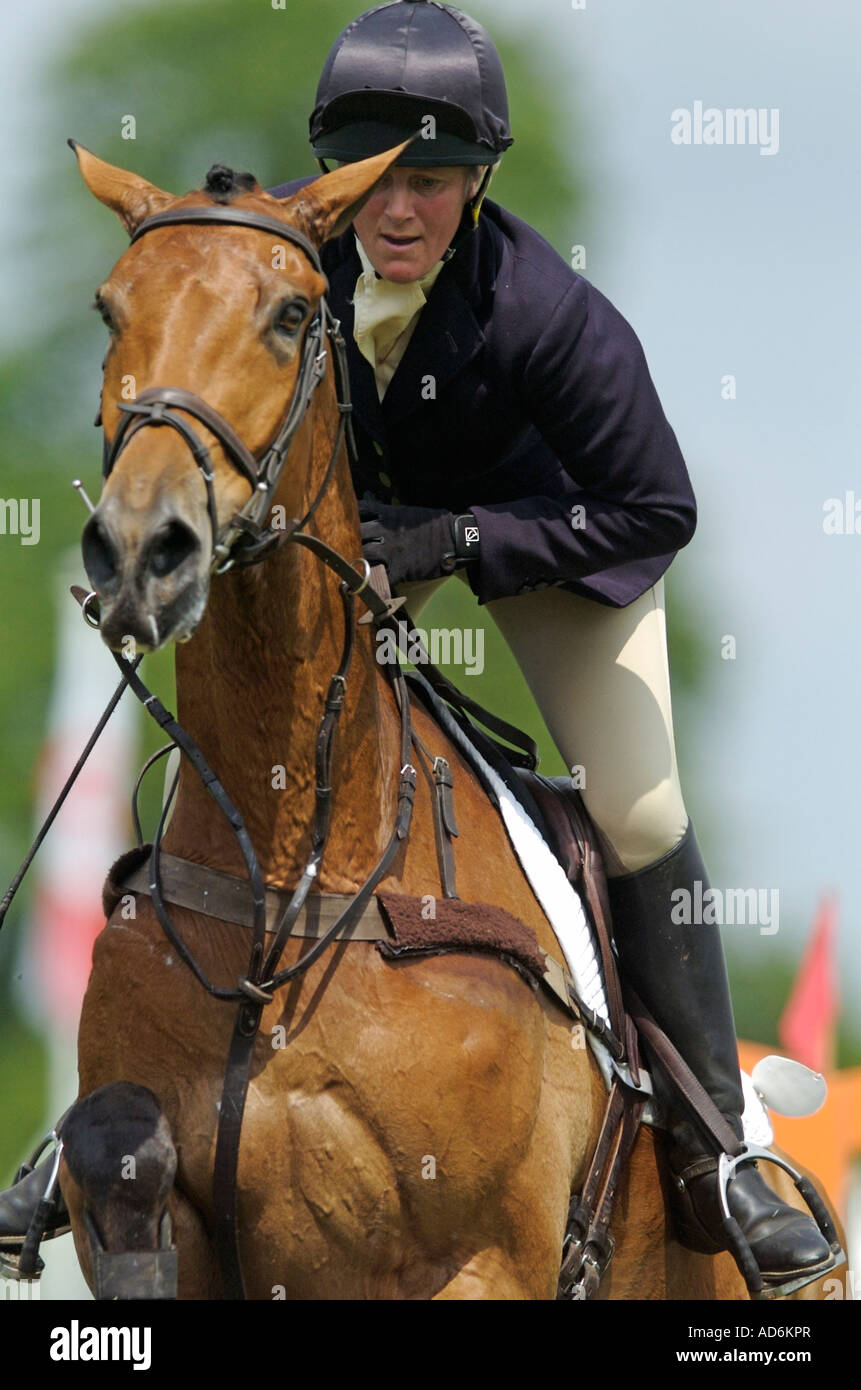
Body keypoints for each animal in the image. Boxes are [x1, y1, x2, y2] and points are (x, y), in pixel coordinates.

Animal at [55, 140, 843, 1301]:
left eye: (292, 315)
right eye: (111, 309)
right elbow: (121, 1150)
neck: (289, 885)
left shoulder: (480, 1262)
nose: (140, 551)